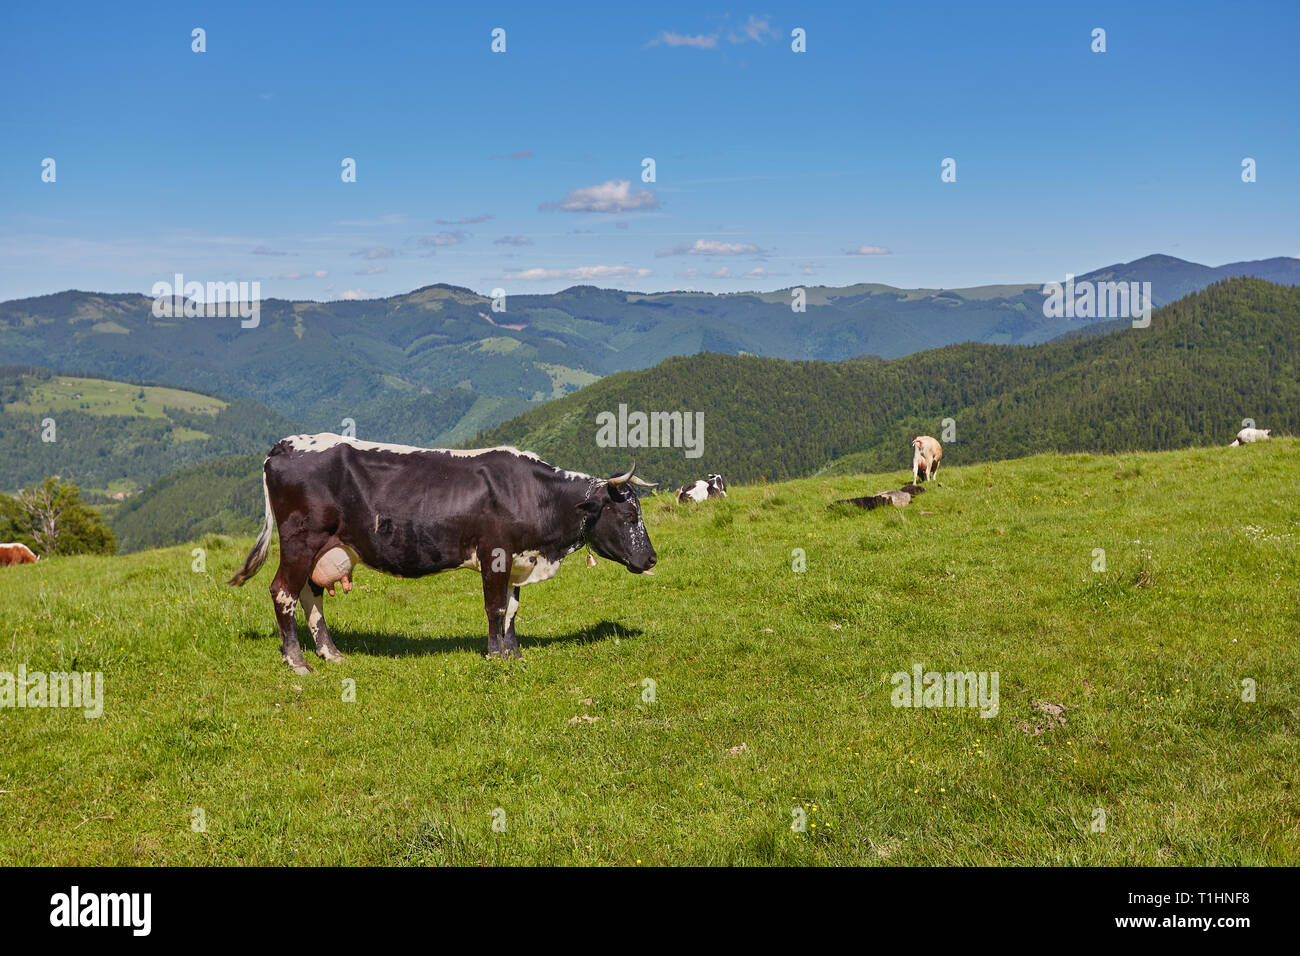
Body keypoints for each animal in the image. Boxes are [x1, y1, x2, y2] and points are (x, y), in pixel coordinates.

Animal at [227, 434, 659, 673]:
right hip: (300, 540)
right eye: (628, 514)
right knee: (283, 591)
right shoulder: (495, 554)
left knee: (310, 594)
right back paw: (297, 662)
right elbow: (496, 608)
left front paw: (515, 655)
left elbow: (513, 609)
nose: (652, 559)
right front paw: (496, 657)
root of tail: (285, 445)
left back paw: (330, 654)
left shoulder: (519, 559)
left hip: (323, 546)